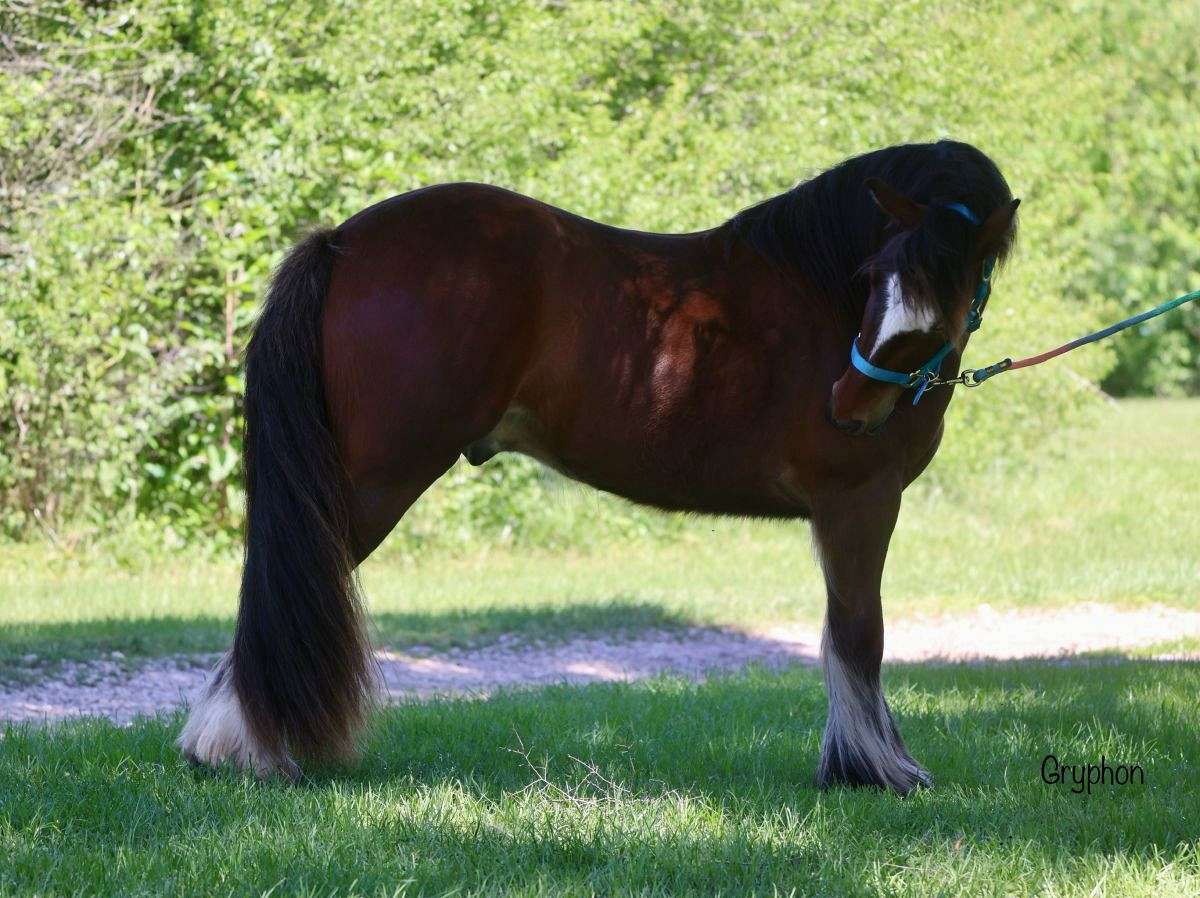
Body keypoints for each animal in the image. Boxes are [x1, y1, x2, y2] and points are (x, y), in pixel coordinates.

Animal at [179, 139, 1019, 793]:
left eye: (933, 308)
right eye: (875, 280)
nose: (846, 405)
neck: (816, 290)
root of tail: (344, 242)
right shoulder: (858, 502)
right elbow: (857, 633)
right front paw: (875, 769)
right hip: (370, 485)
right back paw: (239, 747)